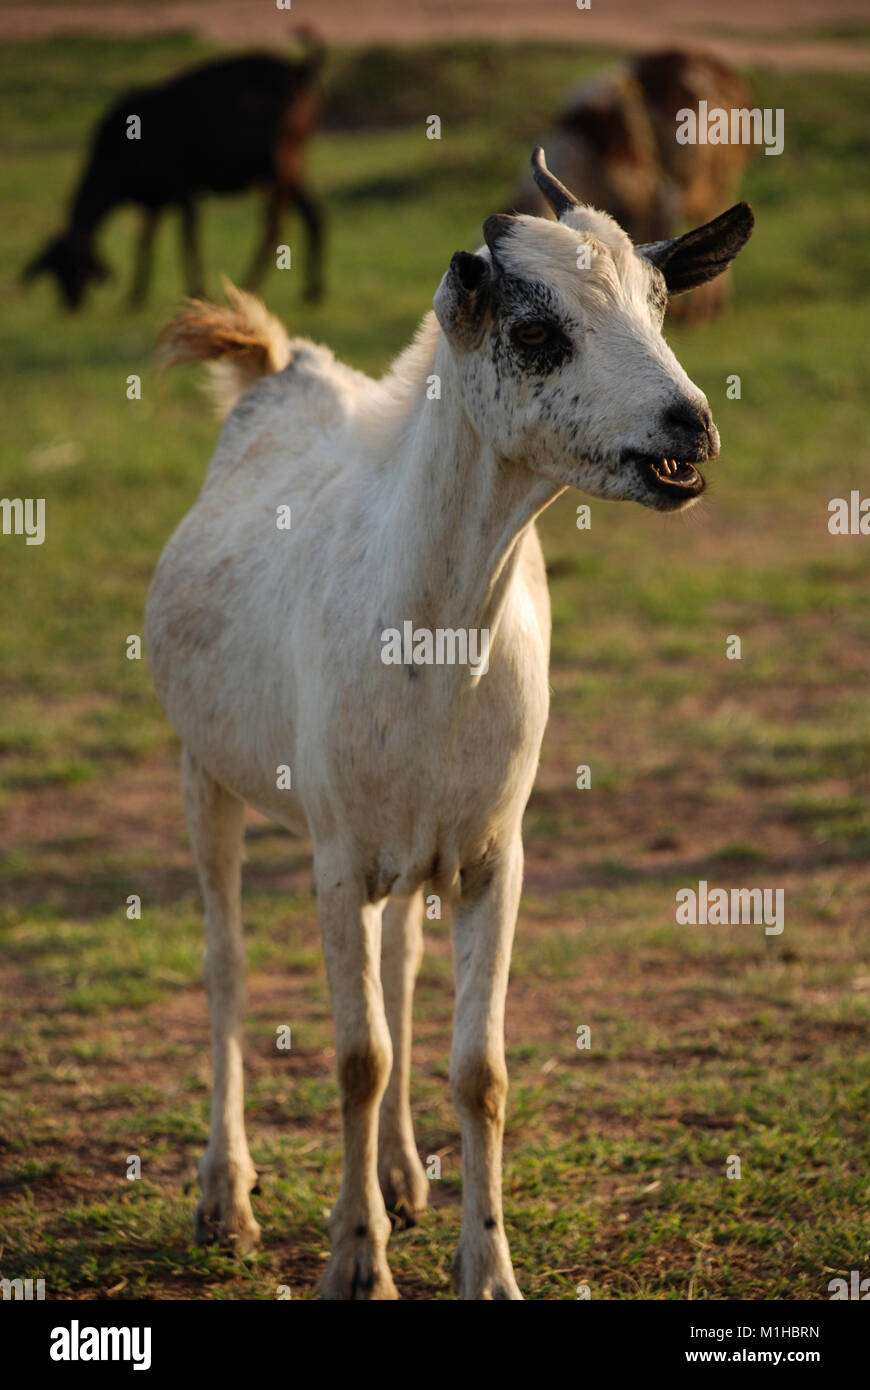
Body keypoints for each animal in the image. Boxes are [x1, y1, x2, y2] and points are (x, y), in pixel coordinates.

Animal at [22, 34, 325, 311]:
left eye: (72, 266)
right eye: (54, 269)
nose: (70, 305)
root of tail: (300, 70)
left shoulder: (183, 187)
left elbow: (186, 239)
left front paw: (197, 291)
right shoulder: (154, 199)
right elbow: (147, 241)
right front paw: (136, 296)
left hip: (277, 165)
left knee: (273, 226)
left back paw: (247, 287)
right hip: (295, 166)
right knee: (314, 216)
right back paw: (312, 292)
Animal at [145, 149, 753, 1298]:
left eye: (659, 303)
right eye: (536, 332)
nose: (691, 425)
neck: (434, 635)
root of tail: (283, 364)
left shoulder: (491, 851)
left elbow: (481, 1069)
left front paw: (488, 1266)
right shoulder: (336, 852)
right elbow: (356, 1056)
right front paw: (356, 1263)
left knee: (398, 964)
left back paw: (399, 1176)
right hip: (205, 772)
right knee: (226, 965)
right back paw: (224, 1197)